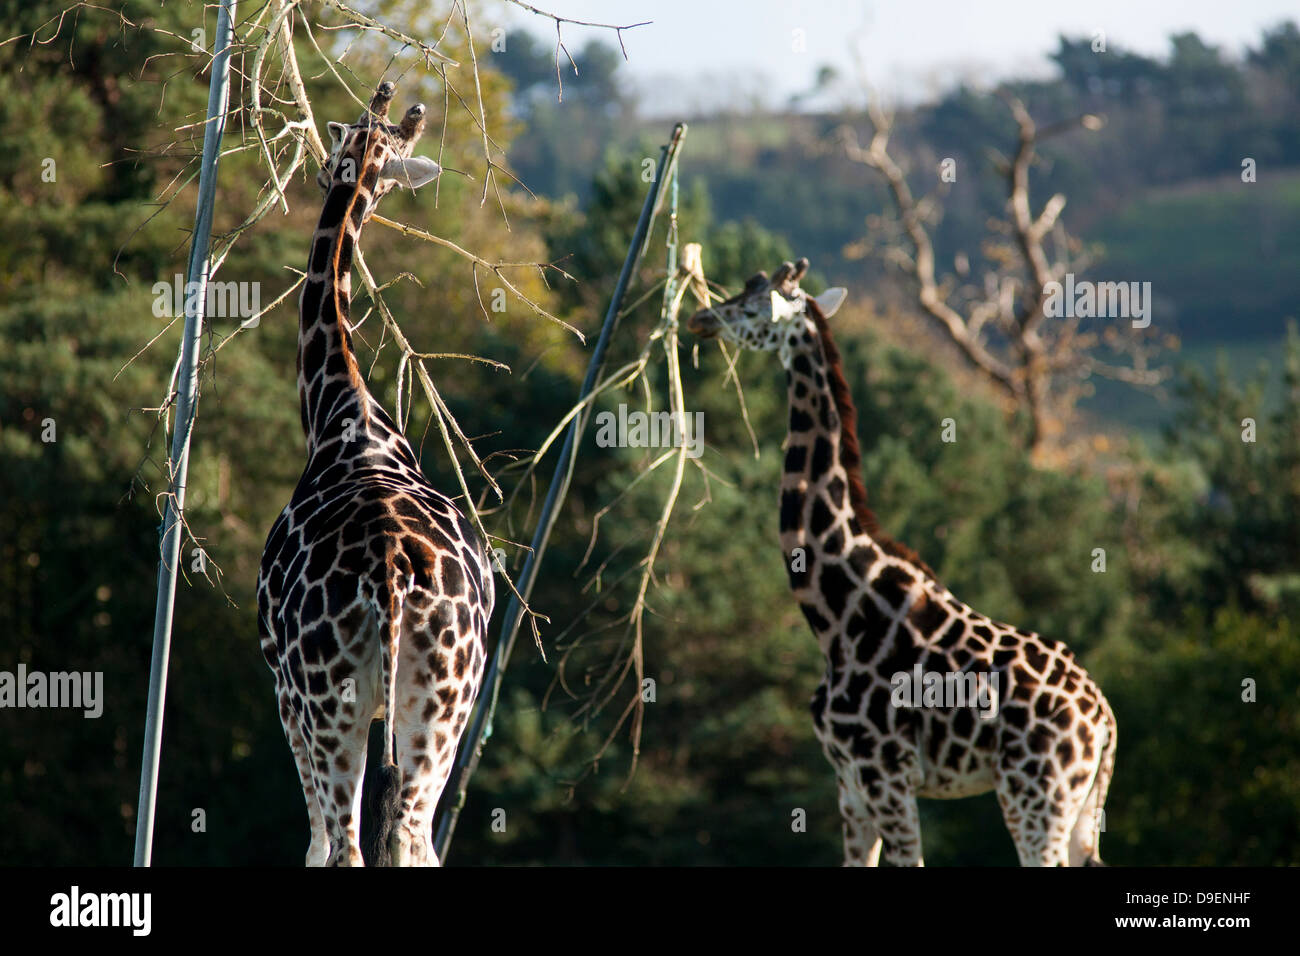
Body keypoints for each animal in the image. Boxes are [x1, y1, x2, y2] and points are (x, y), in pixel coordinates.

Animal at [257, 81, 493, 867]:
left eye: (343, 140)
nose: (322, 171)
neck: (341, 410)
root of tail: (390, 576)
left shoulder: (281, 688)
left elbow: (313, 842)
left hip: (329, 699)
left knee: (349, 842)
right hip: (442, 704)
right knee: (414, 835)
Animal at [686, 258, 1117, 866]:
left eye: (750, 307)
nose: (700, 318)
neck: (837, 615)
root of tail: (1103, 721)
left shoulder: (884, 774)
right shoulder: (848, 784)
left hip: (1036, 796)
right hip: (1081, 806)